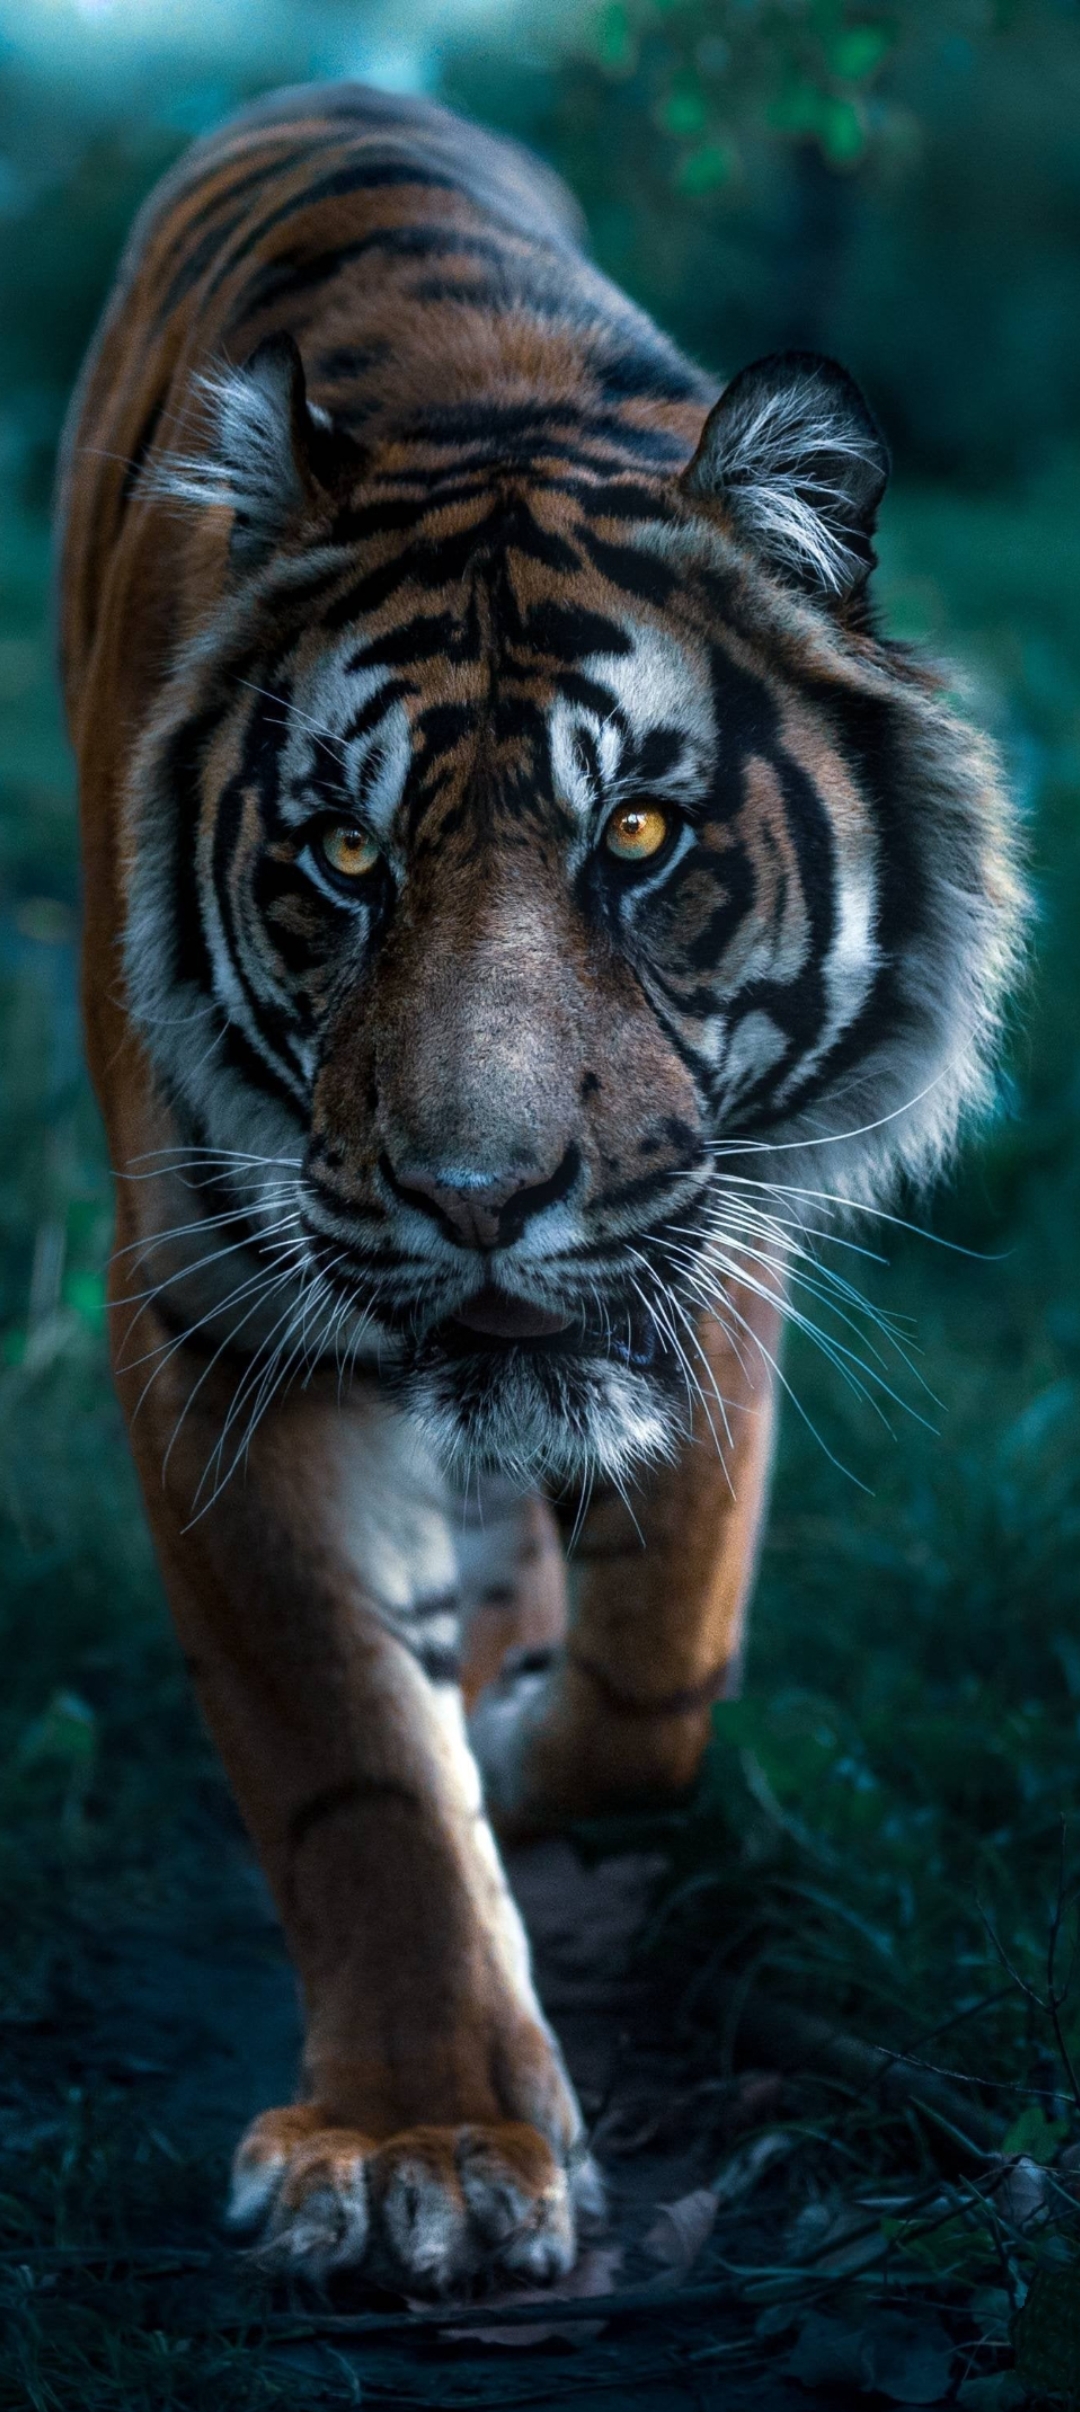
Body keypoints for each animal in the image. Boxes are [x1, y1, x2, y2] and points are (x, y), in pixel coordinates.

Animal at [58, 79, 1022, 2295]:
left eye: (641, 836)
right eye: (342, 856)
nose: (477, 1195)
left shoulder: (708, 1231)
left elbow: (668, 1648)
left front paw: (537, 1742)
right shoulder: (215, 1321)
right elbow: (346, 1757)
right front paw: (420, 2143)